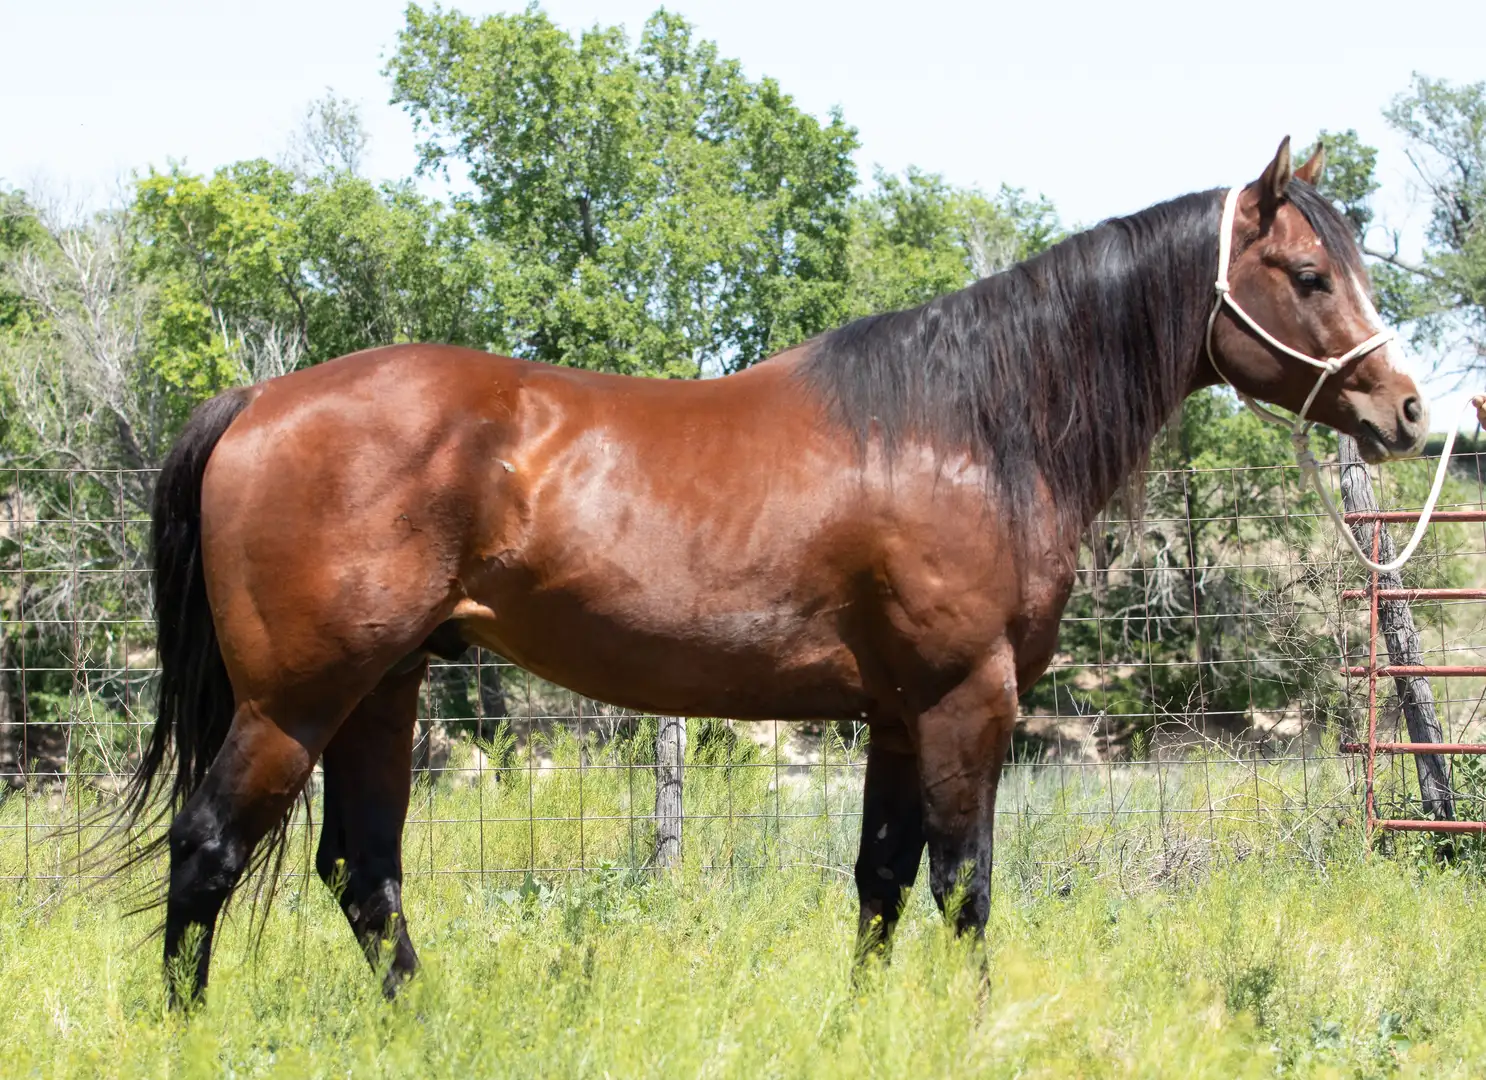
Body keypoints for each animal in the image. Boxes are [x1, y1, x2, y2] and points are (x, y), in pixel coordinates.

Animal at [128, 137, 1427, 1004]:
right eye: (1308, 276)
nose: (1408, 411)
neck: (967, 425)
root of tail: (260, 401)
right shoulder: (967, 698)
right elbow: (964, 886)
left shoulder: (899, 712)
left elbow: (880, 882)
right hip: (294, 702)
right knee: (210, 851)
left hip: (381, 691)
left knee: (363, 874)